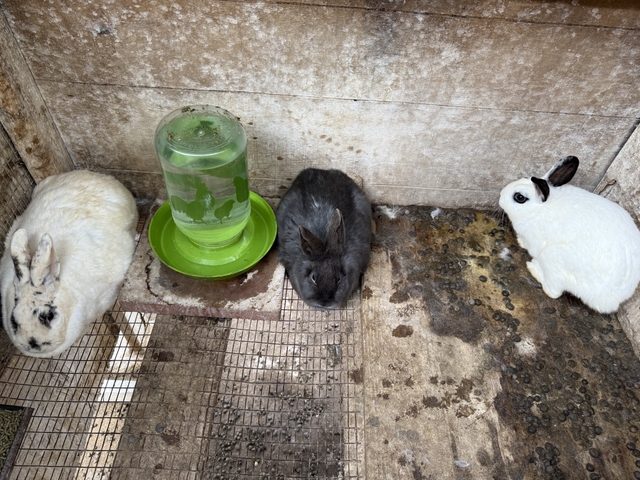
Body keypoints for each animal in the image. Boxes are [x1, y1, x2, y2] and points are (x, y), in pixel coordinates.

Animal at [499, 155, 640, 314]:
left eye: (519, 197)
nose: (500, 196)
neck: (541, 209)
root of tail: (611, 299)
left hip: (552, 258)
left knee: (553, 292)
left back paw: (533, 268)